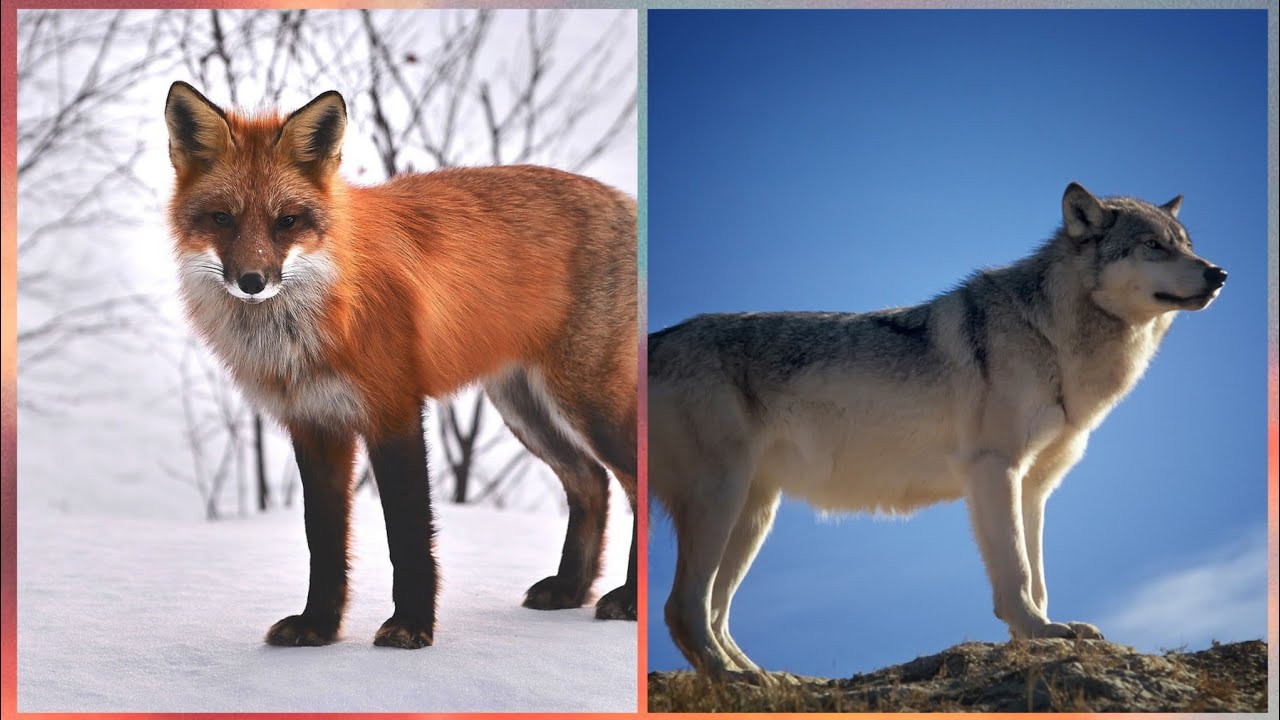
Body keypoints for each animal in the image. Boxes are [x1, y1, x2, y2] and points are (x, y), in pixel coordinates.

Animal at [164, 82, 638, 649]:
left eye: (287, 221)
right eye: (222, 218)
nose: (252, 281)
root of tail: (626, 200)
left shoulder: (394, 412)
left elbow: (408, 535)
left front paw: (411, 626)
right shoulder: (315, 423)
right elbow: (322, 542)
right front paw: (318, 627)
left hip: (587, 404)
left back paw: (631, 600)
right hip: (525, 408)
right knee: (592, 483)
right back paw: (571, 589)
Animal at [648, 182, 1226, 676]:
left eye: (1187, 246)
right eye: (1153, 246)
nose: (1218, 274)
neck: (1050, 336)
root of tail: (654, 340)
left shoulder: (1034, 487)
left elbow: (1038, 575)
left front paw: (1044, 631)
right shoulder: (994, 470)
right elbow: (1016, 572)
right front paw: (1037, 632)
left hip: (753, 516)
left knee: (714, 612)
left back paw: (765, 681)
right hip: (721, 500)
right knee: (683, 607)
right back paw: (735, 680)